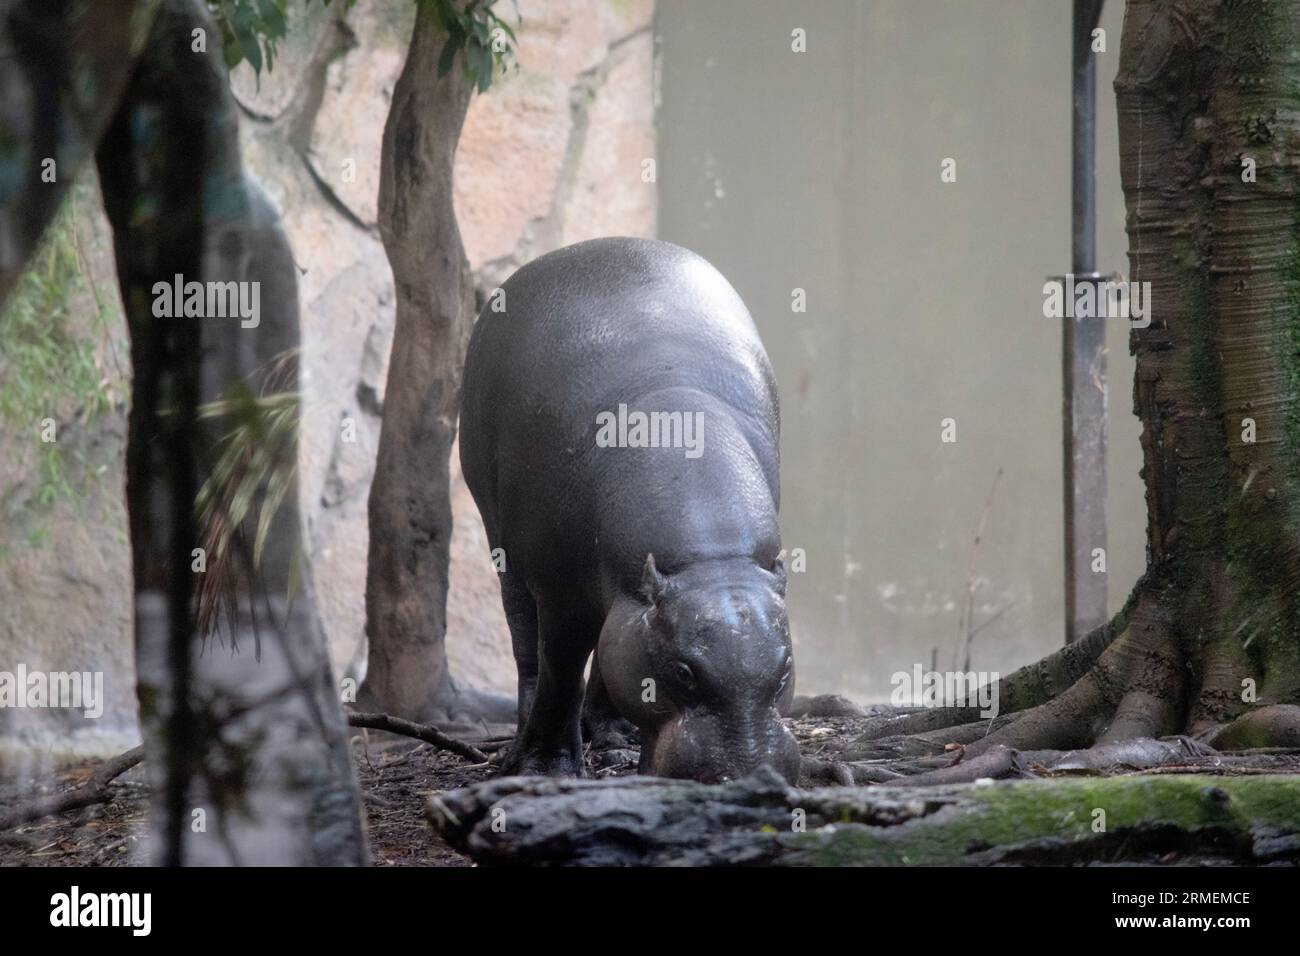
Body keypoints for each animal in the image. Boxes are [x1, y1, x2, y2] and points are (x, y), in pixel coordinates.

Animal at [459, 237, 799, 783]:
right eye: (683, 671)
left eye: (785, 668)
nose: (745, 774)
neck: (707, 561)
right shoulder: (562, 596)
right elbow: (560, 673)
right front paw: (547, 769)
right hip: (500, 536)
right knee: (526, 643)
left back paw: (614, 738)